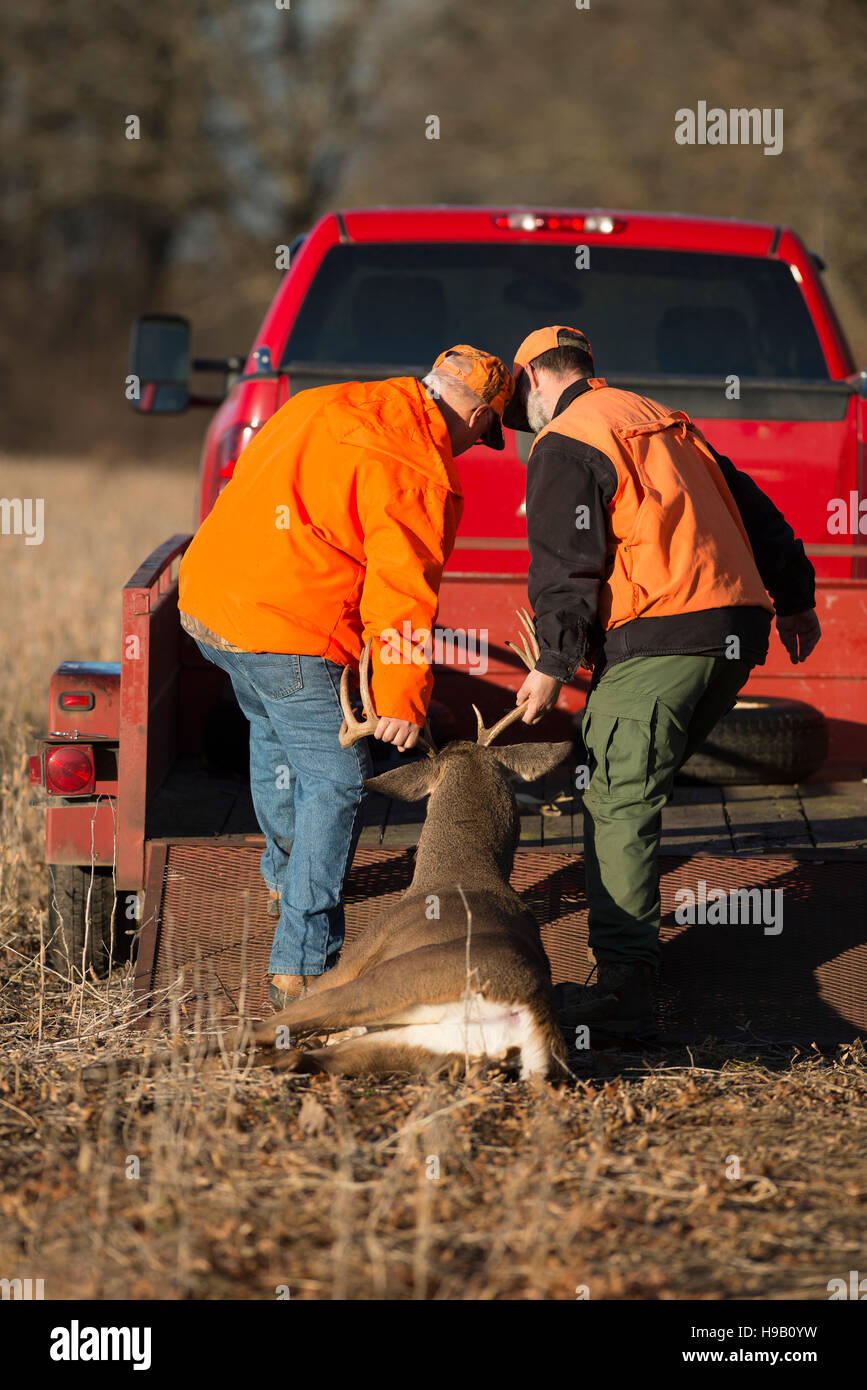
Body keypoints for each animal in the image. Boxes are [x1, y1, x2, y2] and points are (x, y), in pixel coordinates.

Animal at [239, 610, 572, 1082]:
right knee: (301, 1055)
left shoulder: (360, 954)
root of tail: (525, 1014)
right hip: (412, 1044)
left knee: (267, 1029)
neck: (461, 867)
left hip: (383, 982)